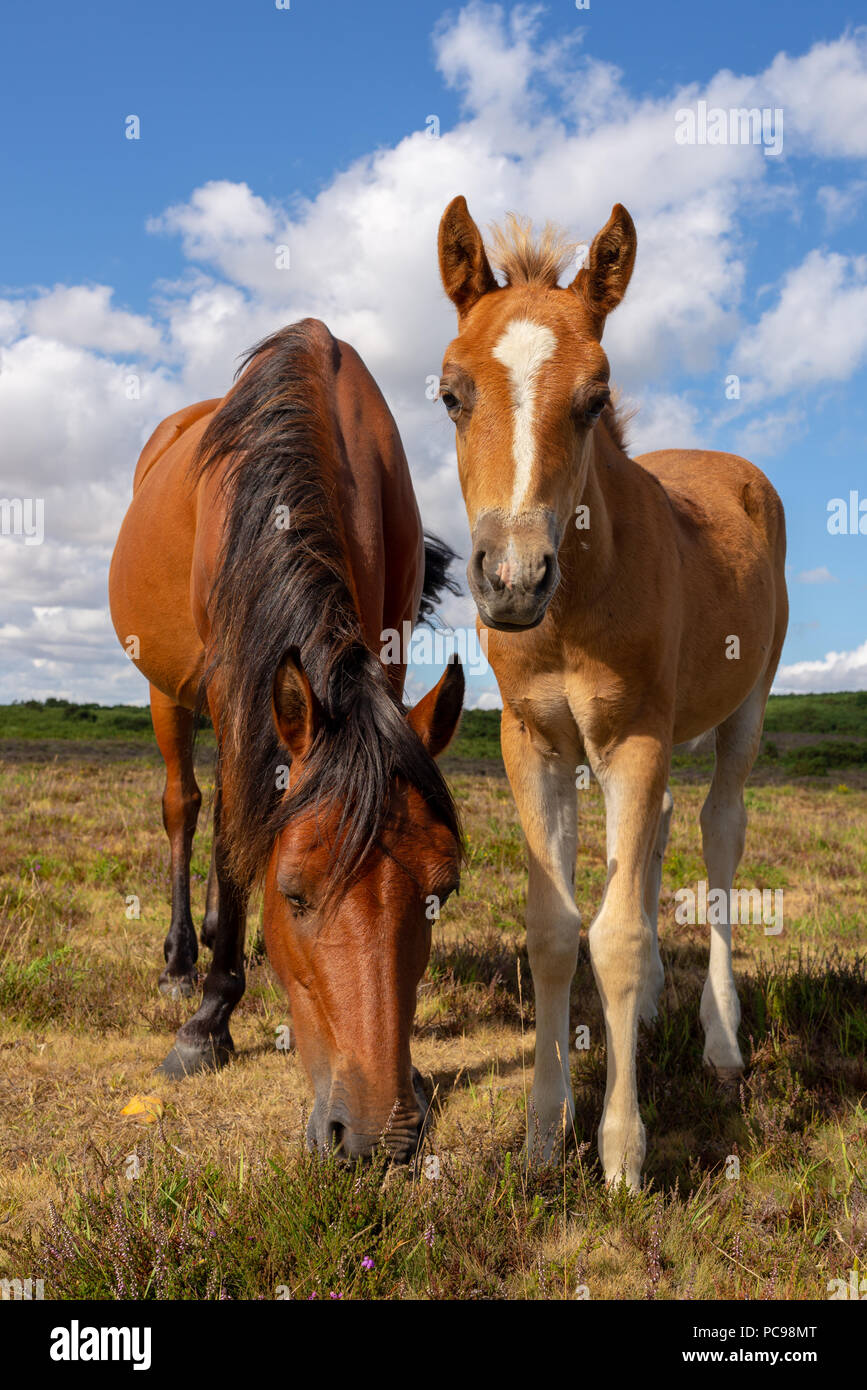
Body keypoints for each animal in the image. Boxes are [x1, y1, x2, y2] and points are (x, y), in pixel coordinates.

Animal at [109, 317, 465, 1162]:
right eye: (296, 893)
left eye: (441, 893)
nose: (376, 1136)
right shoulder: (229, 679)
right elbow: (226, 830)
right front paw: (208, 1021)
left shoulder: (384, 656)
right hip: (170, 691)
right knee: (188, 807)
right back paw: (183, 961)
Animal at [437, 198, 788, 1188]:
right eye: (450, 393)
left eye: (594, 398)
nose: (513, 578)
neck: (571, 612)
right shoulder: (535, 743)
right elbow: (557, 931)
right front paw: (541, 1133)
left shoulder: (633, 736)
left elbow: (620, 934)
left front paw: (621, 1151)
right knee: (657, 839)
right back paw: (658, 1010)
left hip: (742, 711)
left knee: (715, 837)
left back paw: (719, 1040)